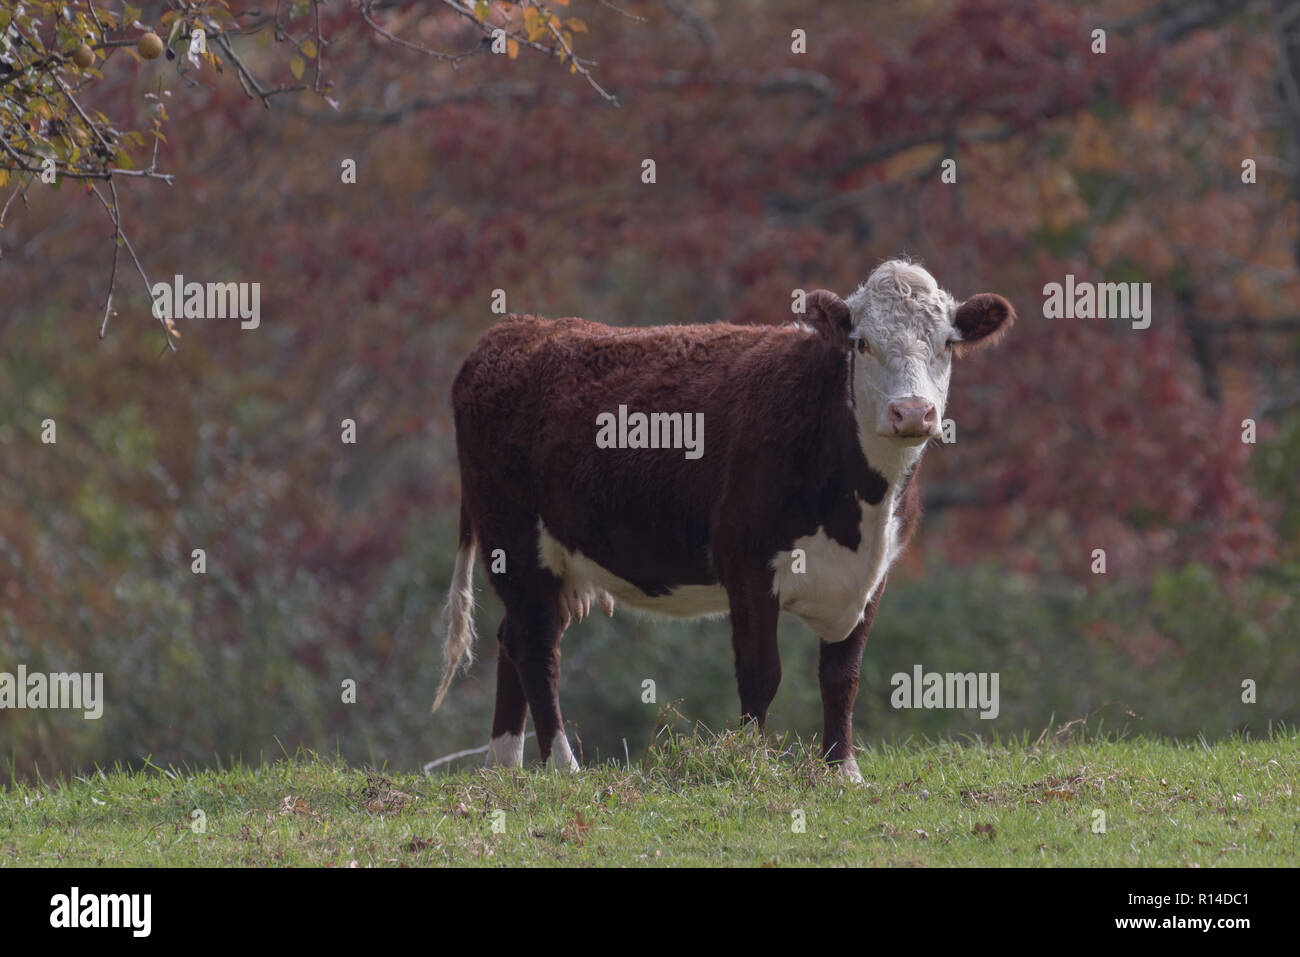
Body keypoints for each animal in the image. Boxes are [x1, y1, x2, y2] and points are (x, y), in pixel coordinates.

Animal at [432, 259, 1015, 781]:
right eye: (864, 343)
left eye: (946, 344)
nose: (912, 412)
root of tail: (516, 329)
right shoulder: (748, 563)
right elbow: (762, 672)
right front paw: (752, 761)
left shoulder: (875, 575)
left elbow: (841, 675)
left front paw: (842, 769)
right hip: (512, 538)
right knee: (536, 645)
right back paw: (562, 764)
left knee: (513, 636)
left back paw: (504, 765)